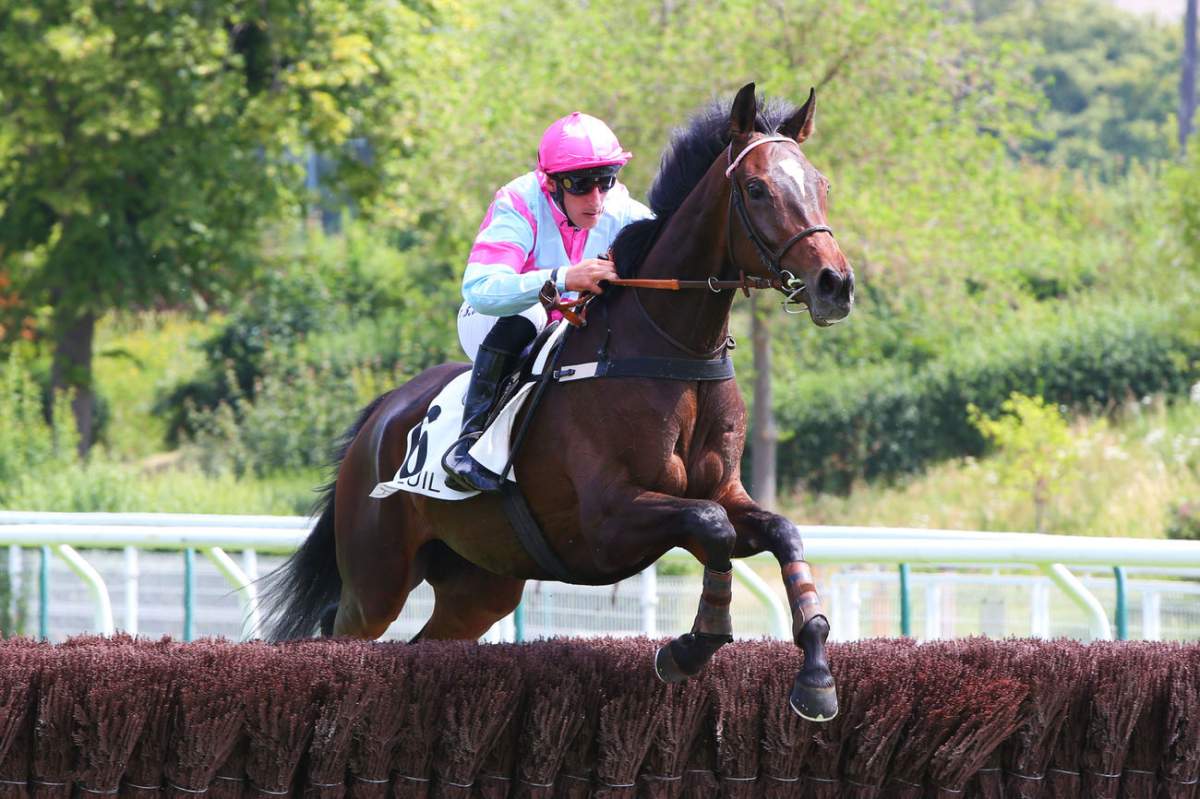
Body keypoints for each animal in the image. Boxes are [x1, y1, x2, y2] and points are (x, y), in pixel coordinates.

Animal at [260, 83, 855, 721]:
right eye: (757, 188)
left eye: (820, 184)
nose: (835, 285)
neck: (670, 348)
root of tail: (382, 413)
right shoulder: (608, 518)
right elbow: (710, 525)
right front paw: (692, 646)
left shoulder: (724, 491)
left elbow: (780, 530)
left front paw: (816, 677)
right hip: (377, 578)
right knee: (341, 629)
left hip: (480, 584)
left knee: (430, 640)